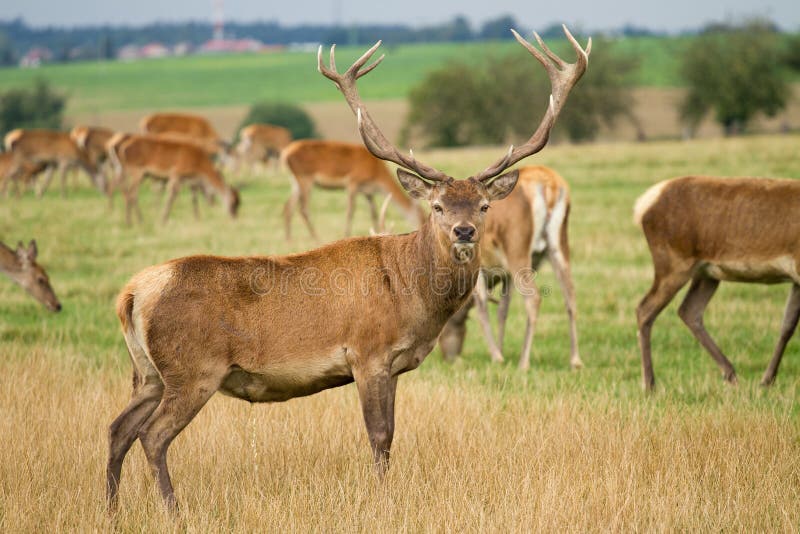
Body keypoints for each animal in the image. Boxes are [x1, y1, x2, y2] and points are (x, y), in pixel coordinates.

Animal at [107, 133, 240, 225]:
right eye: (234, 202)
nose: (234, 216)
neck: (199, 163)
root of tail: (123, 148)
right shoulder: (176, 174)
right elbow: (172, 196)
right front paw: (163, 219)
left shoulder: (190, 179)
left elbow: (193, 198)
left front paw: (197, 218)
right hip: (137, 171)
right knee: (131, 194)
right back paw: (136, 221)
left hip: (132, 172)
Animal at [282, 139, 427, 239]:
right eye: (421, 216)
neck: (377, 176)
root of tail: (285, 153)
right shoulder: (353, 182)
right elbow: (350, 211)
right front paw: (346, 234)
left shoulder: (368, 192)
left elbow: (374, 213)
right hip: (305, 178)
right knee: (303, 208)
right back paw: (316, 237)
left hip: (295, 181)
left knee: (288, 206)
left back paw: (289, 238)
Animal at [438, 165, 581, 370]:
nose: (447, 356)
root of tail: (549, 187)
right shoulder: (506, 274)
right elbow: (503, 309)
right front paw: (500, 350)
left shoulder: (480, 268)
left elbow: (482, 305)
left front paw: (496, 356)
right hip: (559, 243)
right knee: (570, 294)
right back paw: (575, 360)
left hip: (517, 248)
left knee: (534, 298)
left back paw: (524, 362)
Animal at [635, 175, 800, 390]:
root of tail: (643, 204)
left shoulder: (796, 280)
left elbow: (787, 325)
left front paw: (767, 380)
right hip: (673, 265)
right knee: (644, 309)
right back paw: (649, 384)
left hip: (707, 273)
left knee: (689, 310)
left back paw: (731, 374)